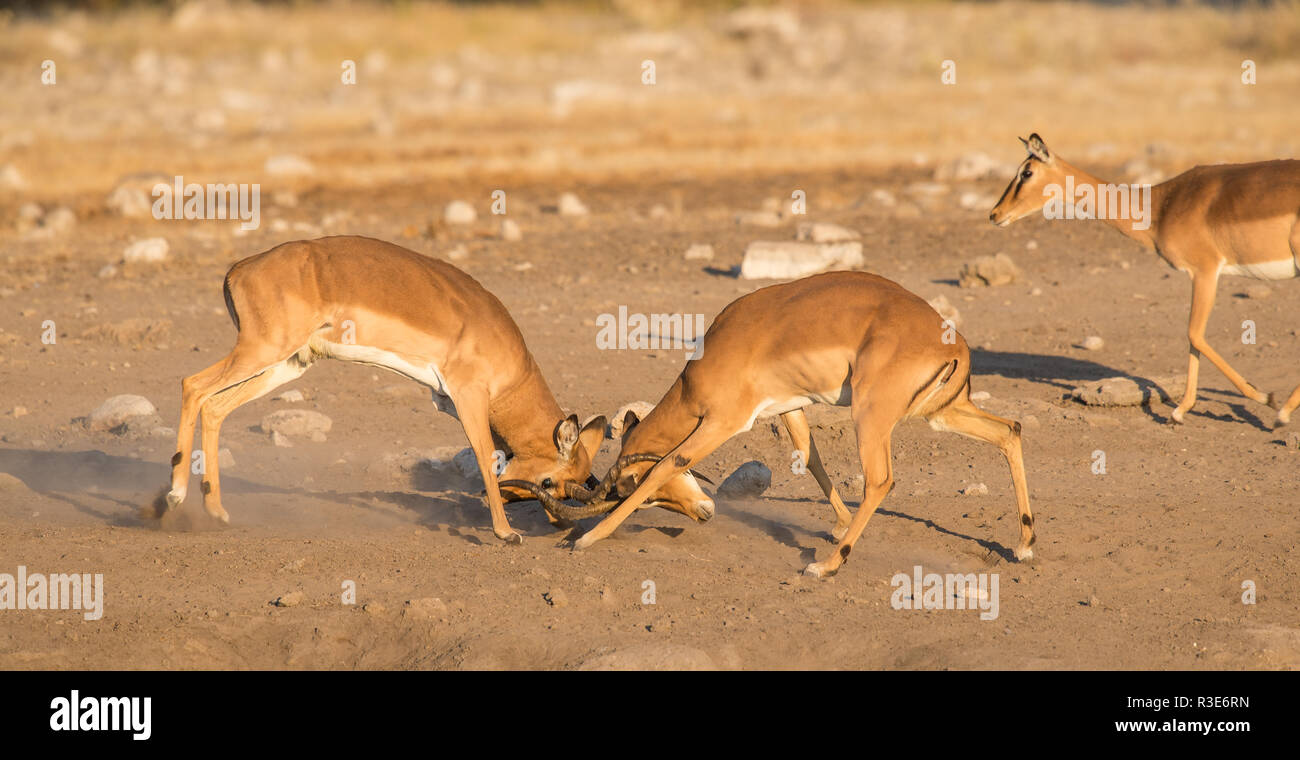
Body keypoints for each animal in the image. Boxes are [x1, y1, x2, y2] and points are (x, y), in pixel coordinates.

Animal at [144, 235, 607, 543]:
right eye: (549, 481)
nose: (559, 525)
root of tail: (238, 269)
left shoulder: (450, 402)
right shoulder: (468, 396)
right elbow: (482, 456)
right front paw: (506, 533)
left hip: (288, 363)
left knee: (216, 407)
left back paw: (215, 510)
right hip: (261, 350)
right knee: (193, 385)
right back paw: (174, 497)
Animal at [550, 271, 1036, 578]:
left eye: (634, 494)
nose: (704, 513)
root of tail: (954, 344)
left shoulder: (723, 422)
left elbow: (669, 462)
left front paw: (587, 539)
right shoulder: (789, 408)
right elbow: (812, 457)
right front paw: (838, 523)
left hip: (871, 416)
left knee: (880, 481)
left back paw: (825, 566)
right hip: (941, 413)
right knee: (1009, 431)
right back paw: (1024, 545)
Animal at [990, 133, 1300, 426]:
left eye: (1026, 172)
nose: (994, 214)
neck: (1161, 206)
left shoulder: (1205, 272)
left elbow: (1194, 335)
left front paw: (1266, 397)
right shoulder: (1200, 276)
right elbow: (1193, 339)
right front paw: (1179, 412)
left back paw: (1282, 413)